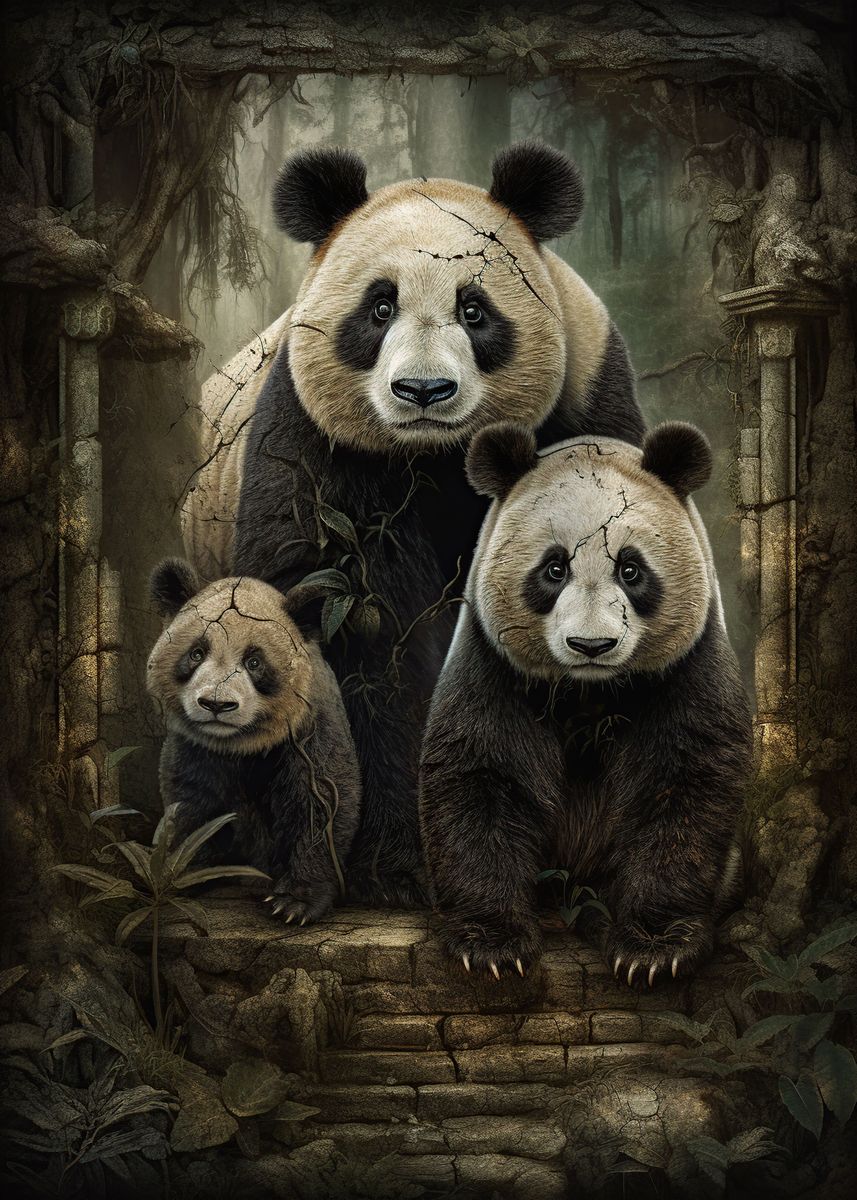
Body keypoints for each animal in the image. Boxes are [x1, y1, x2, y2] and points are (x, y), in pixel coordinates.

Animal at [146, 558, 361, 924]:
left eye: (254, 662)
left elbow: (319, 805)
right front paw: (182, 876)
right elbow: (189, 802)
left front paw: (295, 902)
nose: (217, 704)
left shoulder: (307, 734)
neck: (239, 744)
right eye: (196, 653)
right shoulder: (194, 747)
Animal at [190, 140, 645, 907]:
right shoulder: (318, 446)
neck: (443, 456)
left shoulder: (585, 402)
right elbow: (363, 639)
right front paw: (396, 871)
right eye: (379, 308)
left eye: (474, 309)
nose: (424, 391)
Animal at [419, 421, 753, 985]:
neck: (590, 690)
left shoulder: (686, 667)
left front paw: (654, 949)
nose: (591, 645)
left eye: (631, 570)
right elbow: (481, 775)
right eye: (554, 569)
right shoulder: (495, 668)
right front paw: (491, 946)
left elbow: (683, 782)